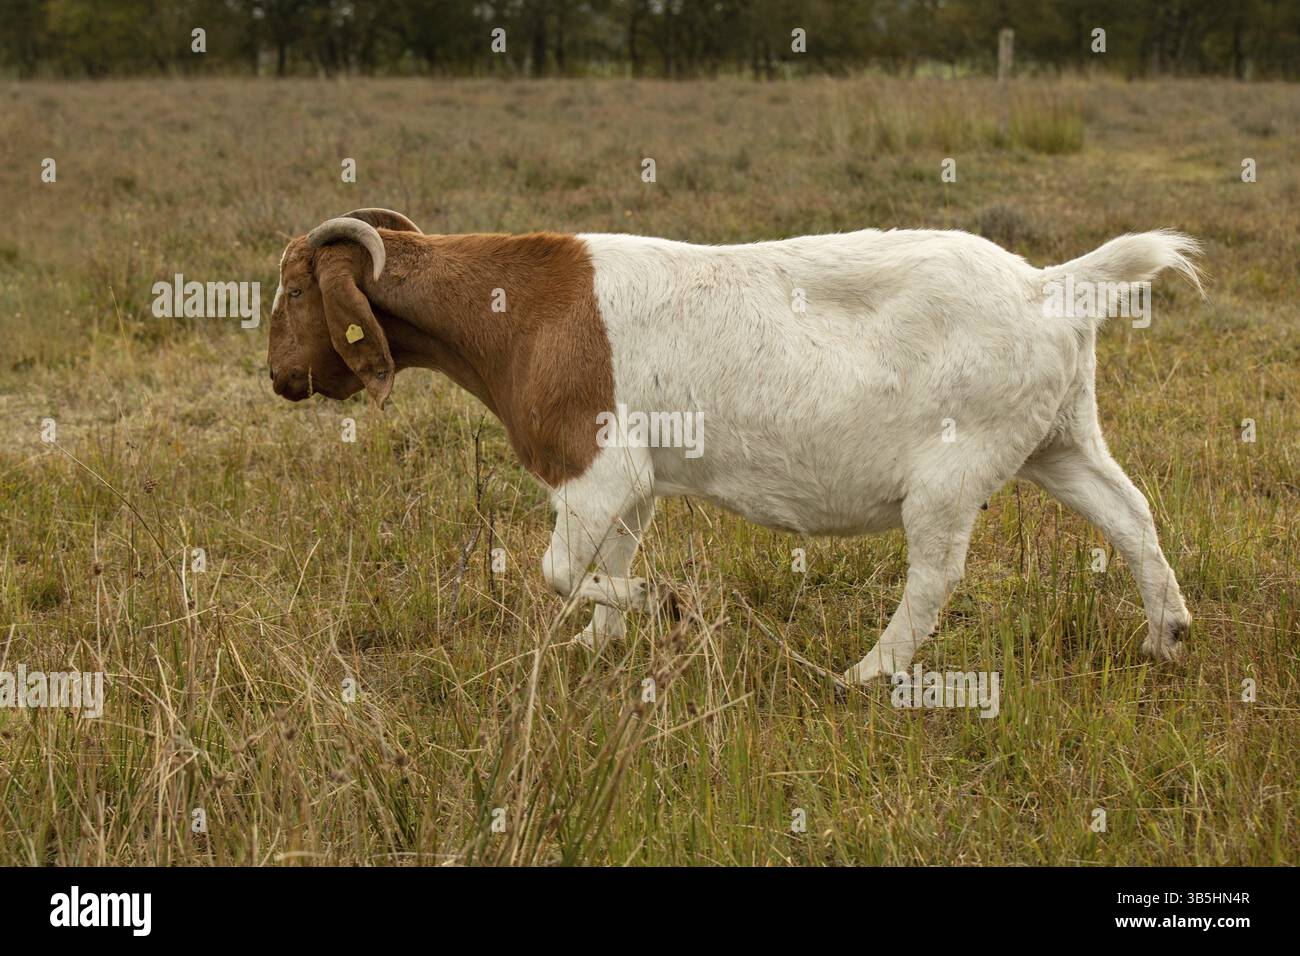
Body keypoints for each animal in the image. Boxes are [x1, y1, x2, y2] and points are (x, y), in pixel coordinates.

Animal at [267, 208, 1201, 684]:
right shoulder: (631, 484)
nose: (277, 376)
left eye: (295, 290)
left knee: (936, 575)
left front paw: (670, 605)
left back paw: (867, 674)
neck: (520, 310)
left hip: (954, 465)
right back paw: (1166, 634)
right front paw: (597, 645)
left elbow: (562, 570)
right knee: (1131, 517)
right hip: (1061, 440)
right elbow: (605, 563)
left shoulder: (593, 465)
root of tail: (1050, 284)